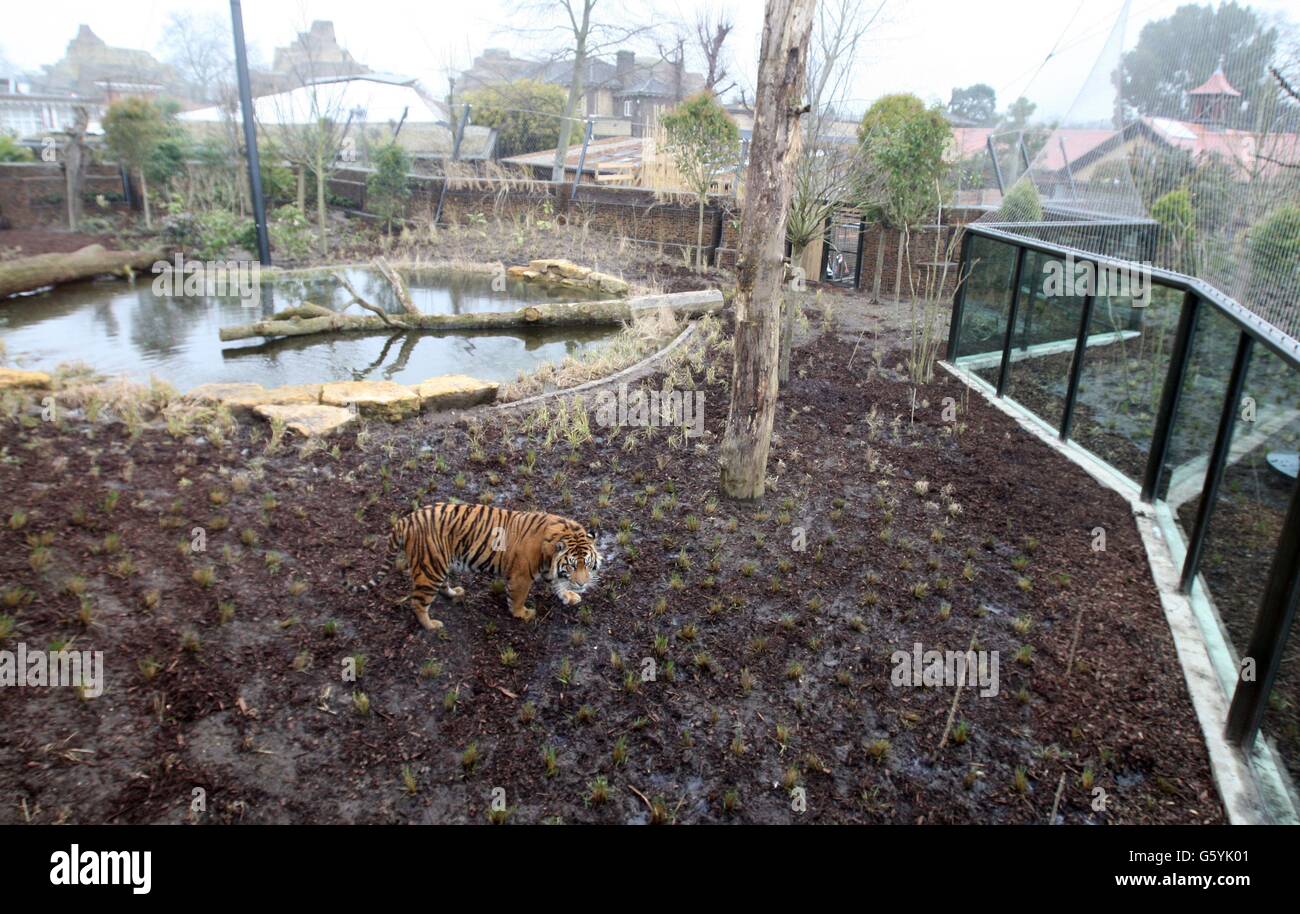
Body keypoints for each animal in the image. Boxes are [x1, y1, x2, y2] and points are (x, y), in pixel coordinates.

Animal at [353, 503, 601, 631]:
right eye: (572, 565)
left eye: (586, 564)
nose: (582, 584)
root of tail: (407, 519)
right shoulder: (521, 576)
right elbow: (518, 599)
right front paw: (523, 614)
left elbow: (558, 585)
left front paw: (569, 596)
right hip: (429, 567)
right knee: (417, 602)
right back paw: (431, 625)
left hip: (439, 563)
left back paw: (454, 593)